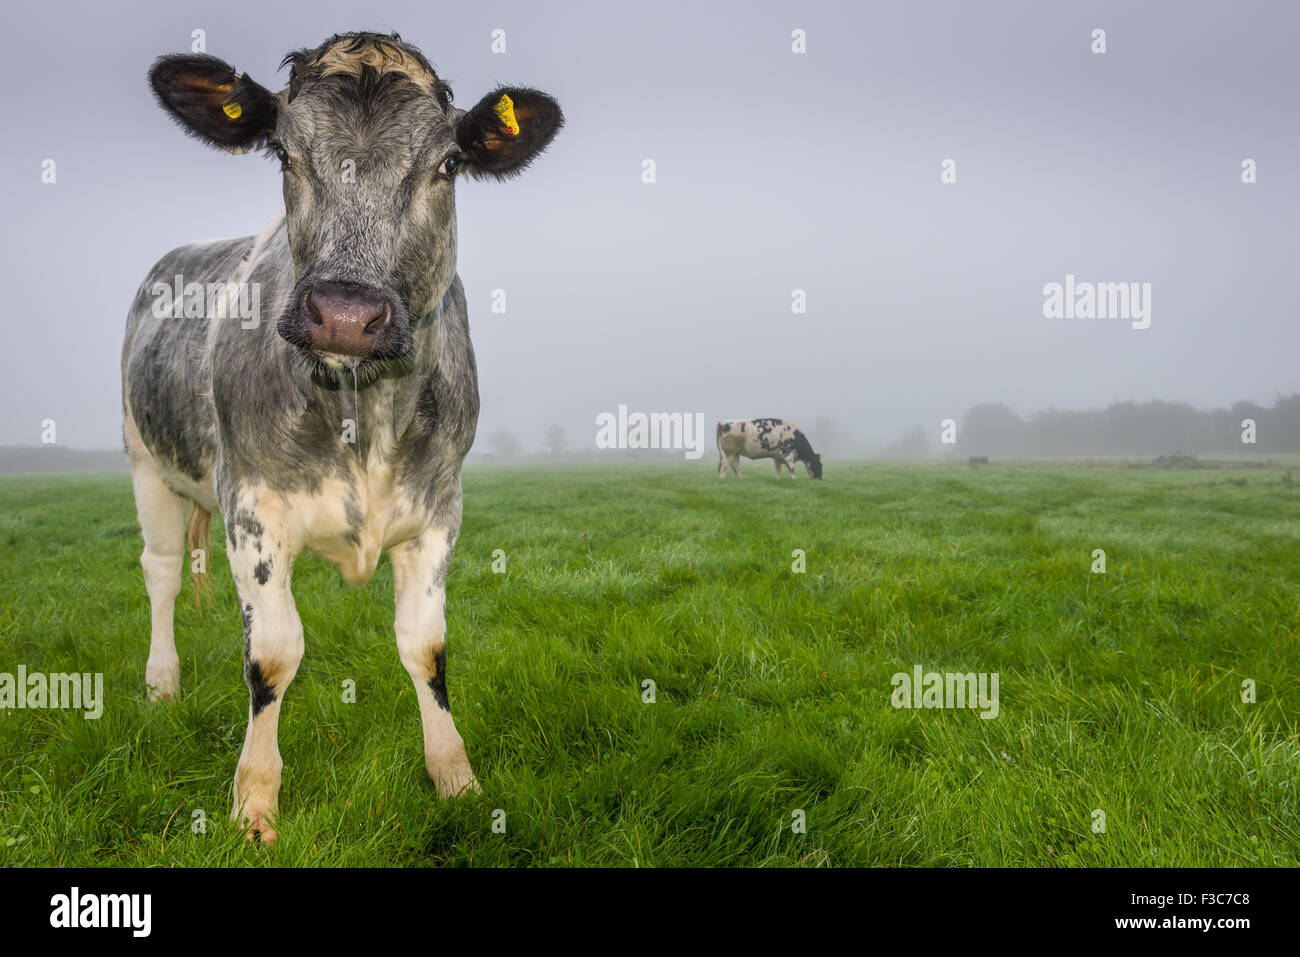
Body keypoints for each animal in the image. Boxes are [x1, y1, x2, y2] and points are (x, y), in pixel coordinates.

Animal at [122, 32, 562, 842]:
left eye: (447, 164)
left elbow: (427, 647)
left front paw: (456, 777)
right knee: (161, 571)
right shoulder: (251, 505)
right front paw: (254, 801)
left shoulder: (440, 506)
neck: (366, 411)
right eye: (284, 154)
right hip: (147, 462)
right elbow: (272, 654)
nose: (346, 315)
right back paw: (162, 684)